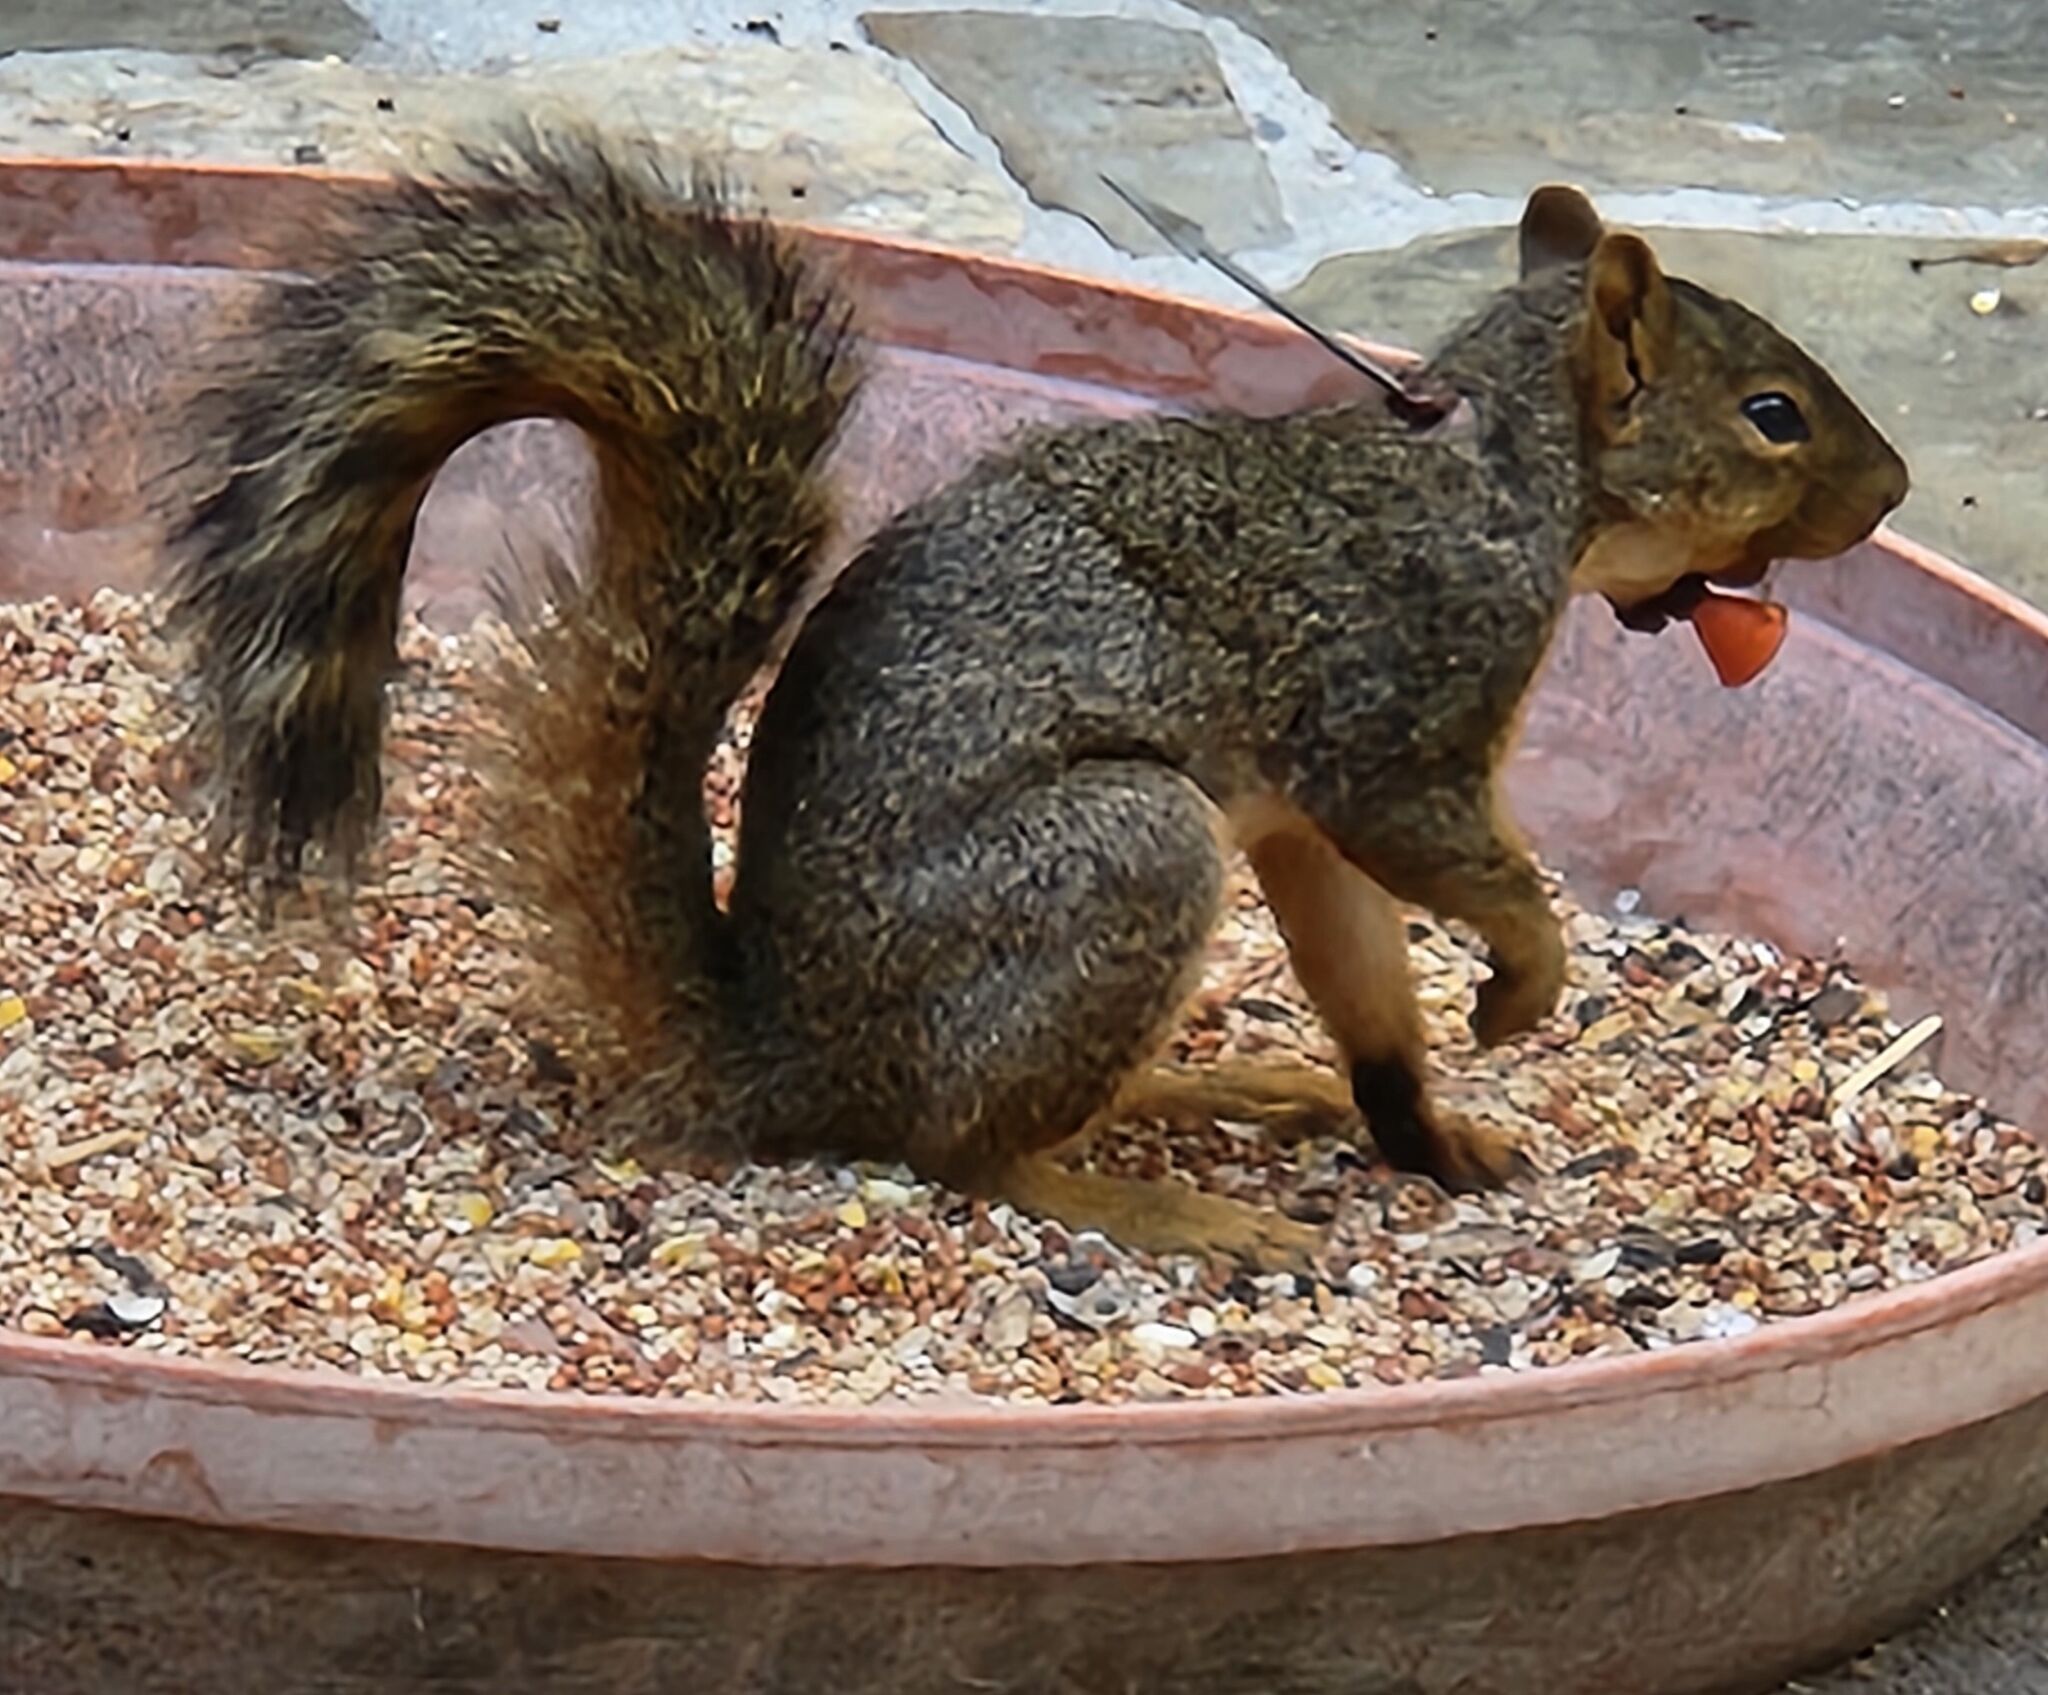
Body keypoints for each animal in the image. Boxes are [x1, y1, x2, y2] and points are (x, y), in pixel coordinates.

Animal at [164, 128, 1909, 1272]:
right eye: (1771, 413)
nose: (1893, 492)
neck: (1497, 469)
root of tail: (792, 1057)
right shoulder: (1397, 694)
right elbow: (1446, 847)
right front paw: (1529, 977)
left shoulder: (1302, 820)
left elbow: (1356, 950)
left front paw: (1431, 1125)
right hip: (1122, 849)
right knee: (977, 1150)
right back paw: (1166, 1201)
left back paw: (1220, 1083)